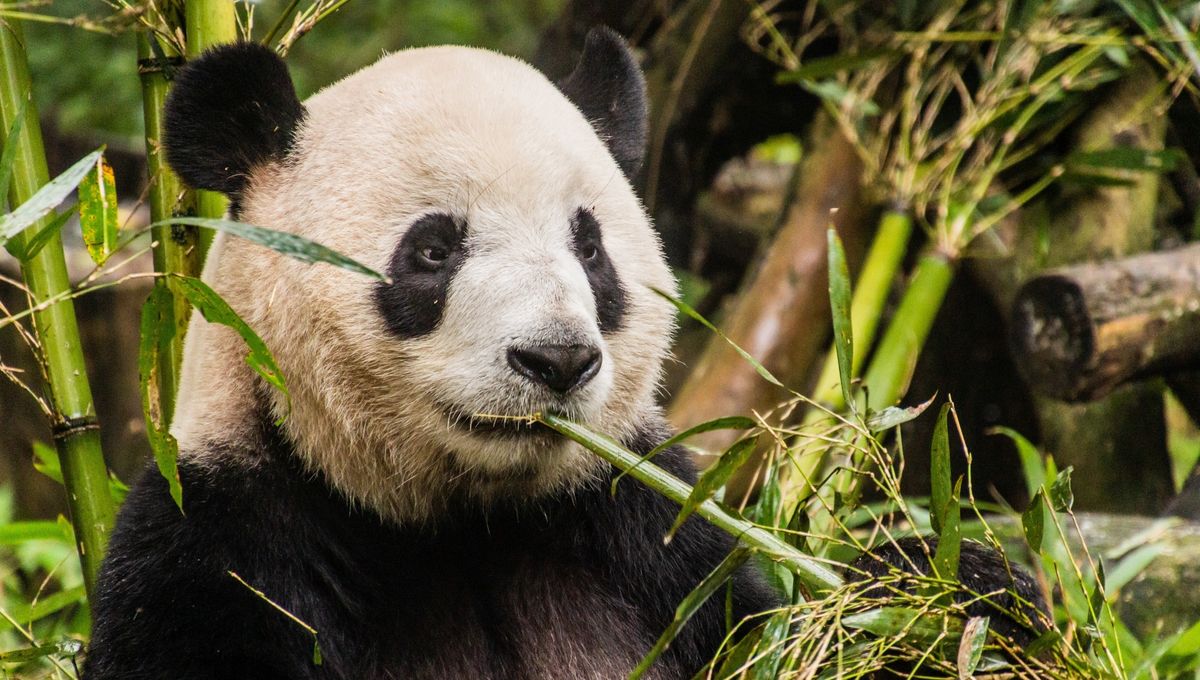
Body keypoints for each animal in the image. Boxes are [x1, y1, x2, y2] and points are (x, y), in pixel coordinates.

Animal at [84, 29, 1046, 679]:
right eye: (432, 250)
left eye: (589, 247)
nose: (556, 361)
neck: (460, 521)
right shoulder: (227, 536)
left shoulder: (640, 528)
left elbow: (785, 631)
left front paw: (955, 592)